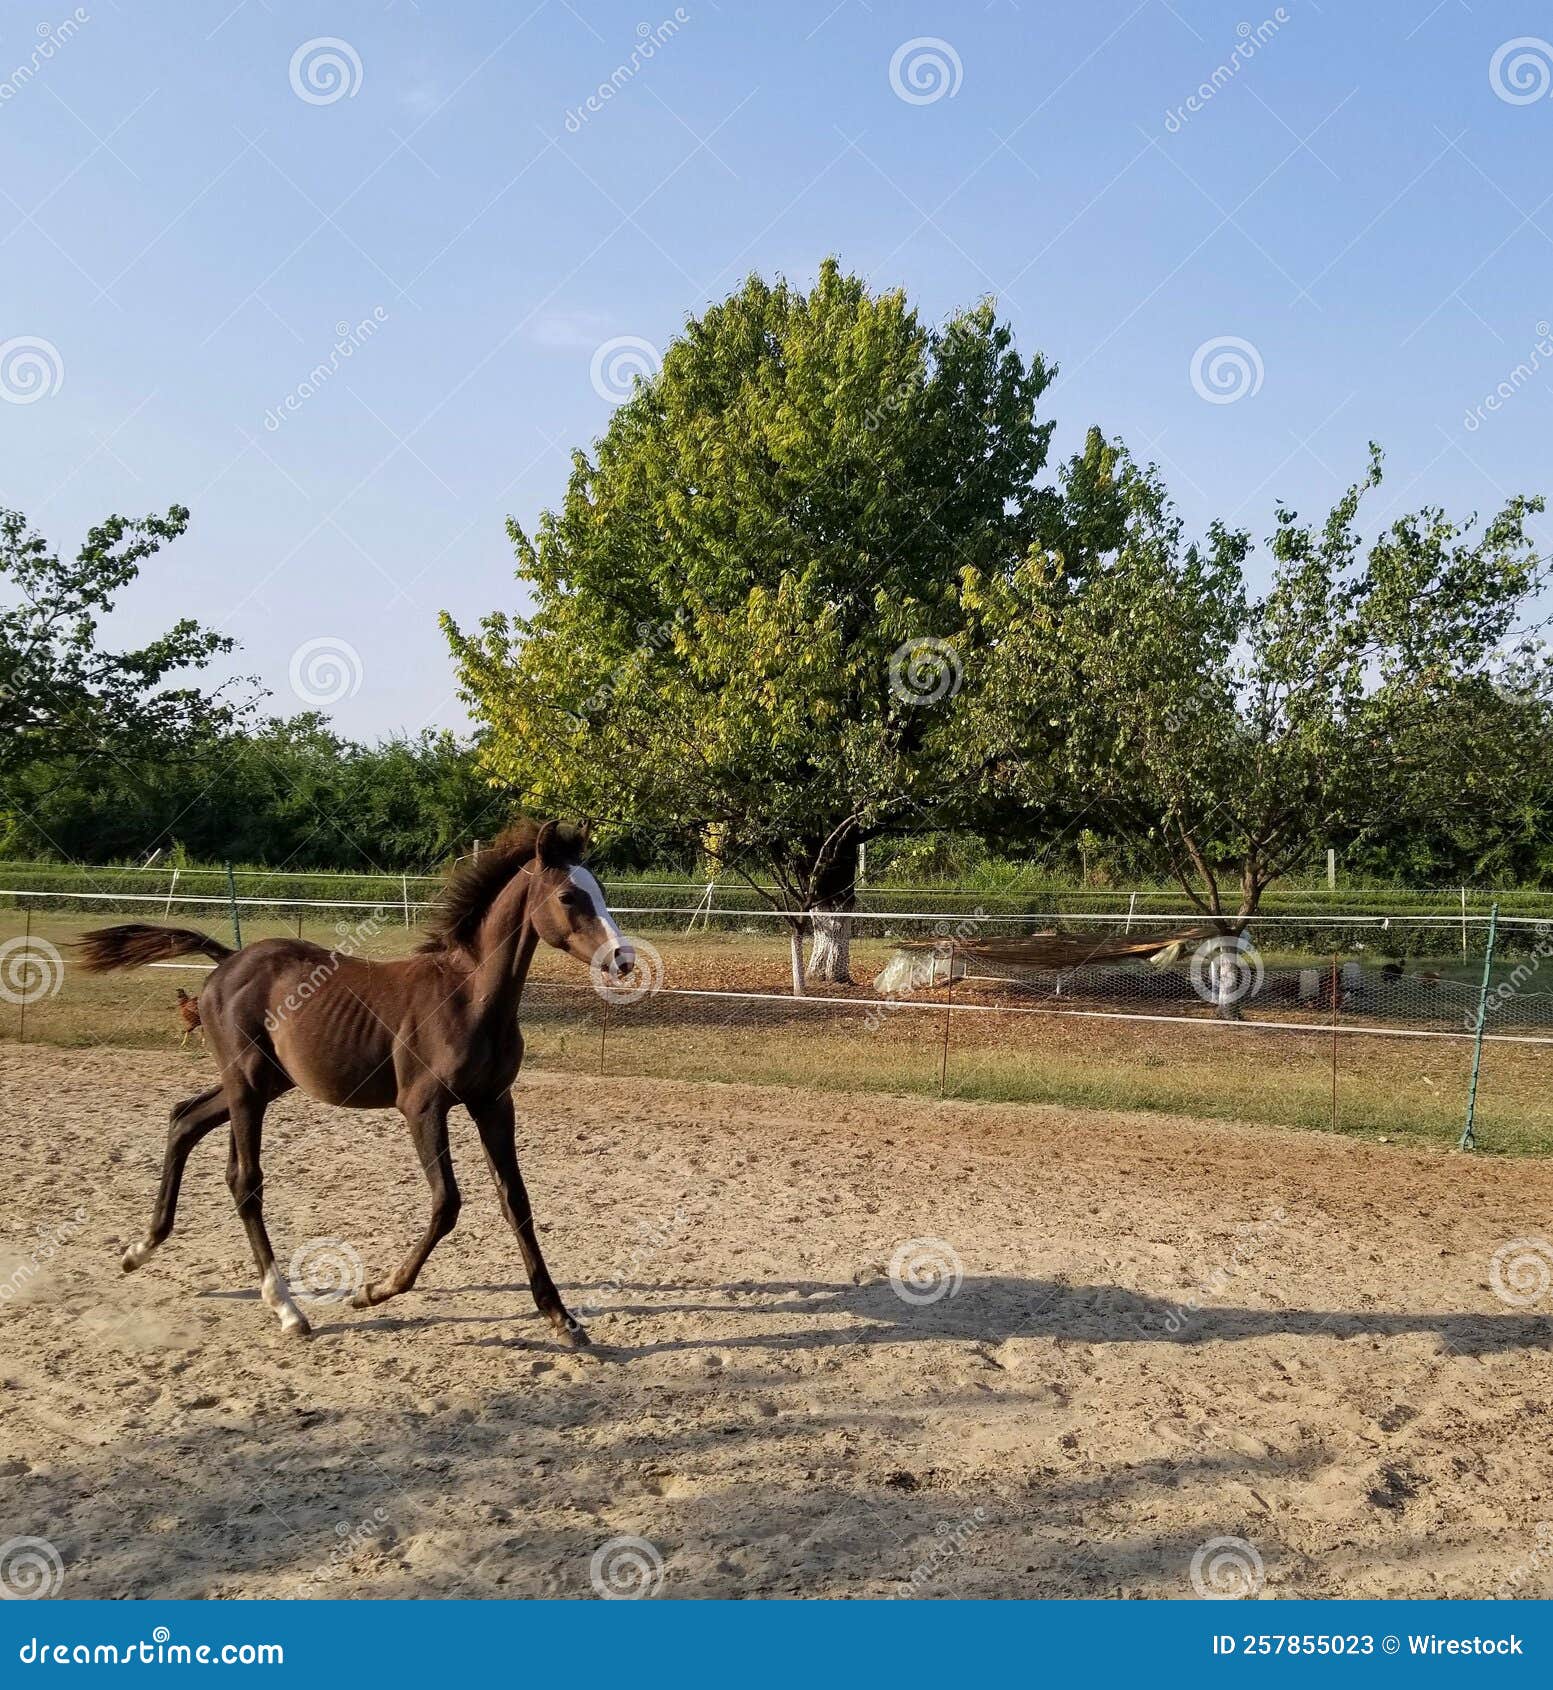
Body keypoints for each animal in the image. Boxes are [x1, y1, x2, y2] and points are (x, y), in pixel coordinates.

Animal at [76, 819, 632, 1347]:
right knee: (244, 1179)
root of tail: (227, 960)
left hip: (265, 1082)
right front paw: (374, 1291)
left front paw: (562, 1319)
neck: (467, 997)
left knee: (184, 1120)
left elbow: (515, 1201)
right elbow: (447, 1203)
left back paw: (138, 1250)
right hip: (246, 1083)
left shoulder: (494, 1104)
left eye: (600, 888)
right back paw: (286, 1309)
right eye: (568, 896)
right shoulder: (422, 1107)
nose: (622, 959)